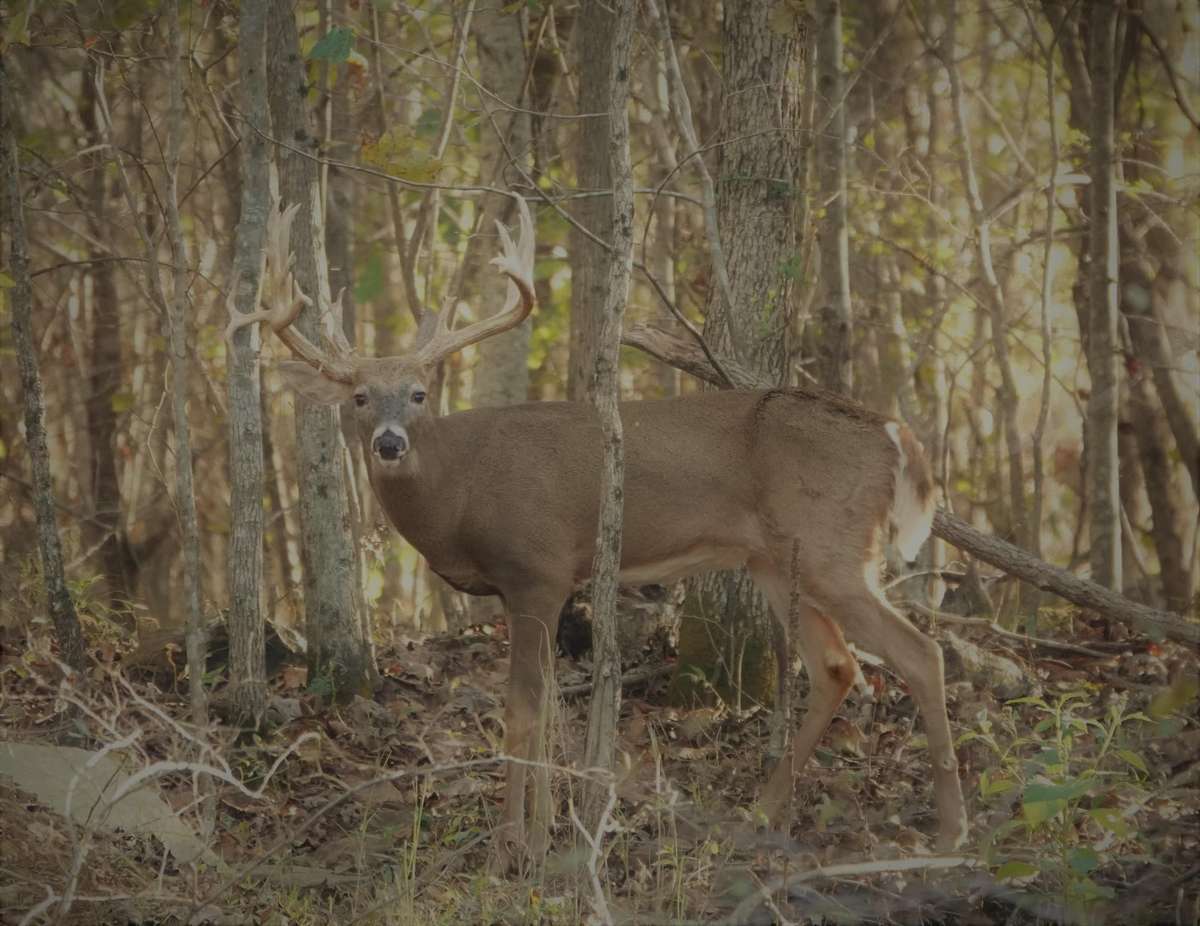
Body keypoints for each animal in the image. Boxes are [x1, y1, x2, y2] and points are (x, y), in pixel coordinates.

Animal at [233, 195, 969, 868]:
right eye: (359, 397)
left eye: (418, 393)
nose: (388, 443)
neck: (459, 493)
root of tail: (894, 434)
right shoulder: (527, 588)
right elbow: (547, 709)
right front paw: (545, 829)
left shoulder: (538, 568)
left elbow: (524, 709)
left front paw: (516, 845)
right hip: (775, 559)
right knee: (838, 667)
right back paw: (758, 816)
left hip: (831, 547)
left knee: (920, 653)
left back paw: (948, 834)